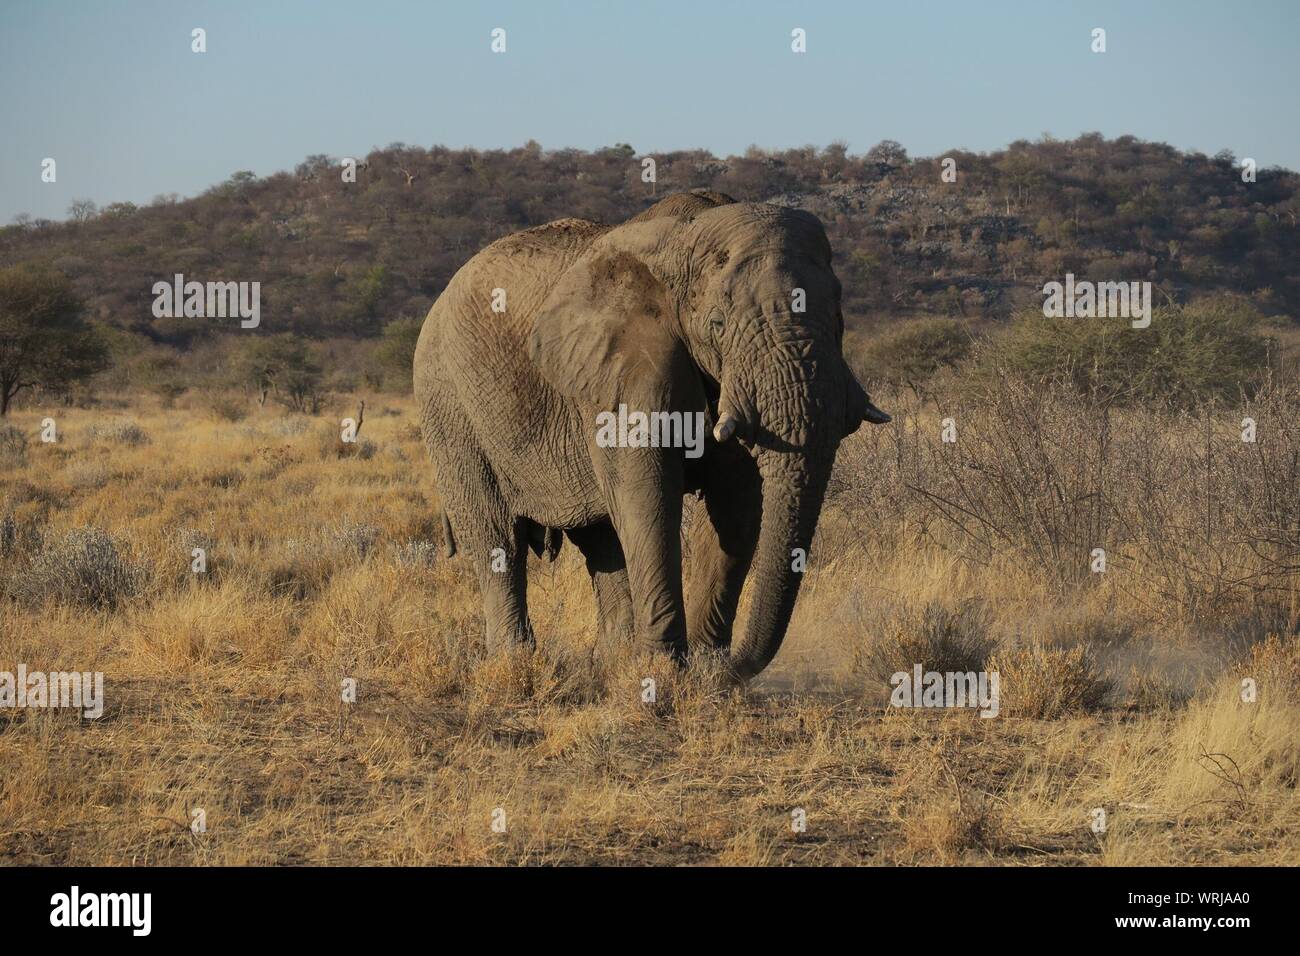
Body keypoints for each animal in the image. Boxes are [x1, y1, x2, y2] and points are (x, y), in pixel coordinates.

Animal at [413, 190, 890, 681]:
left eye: (839, 319)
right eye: (718, 324)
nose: (735, 665)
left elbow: (736, 504)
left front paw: (706, 671)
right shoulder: (626, 372)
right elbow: (647, 494)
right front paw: (665, 670)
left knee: (601, 540)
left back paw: (613, 659)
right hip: (448, 404)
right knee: (497, 538)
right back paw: (515, 664)